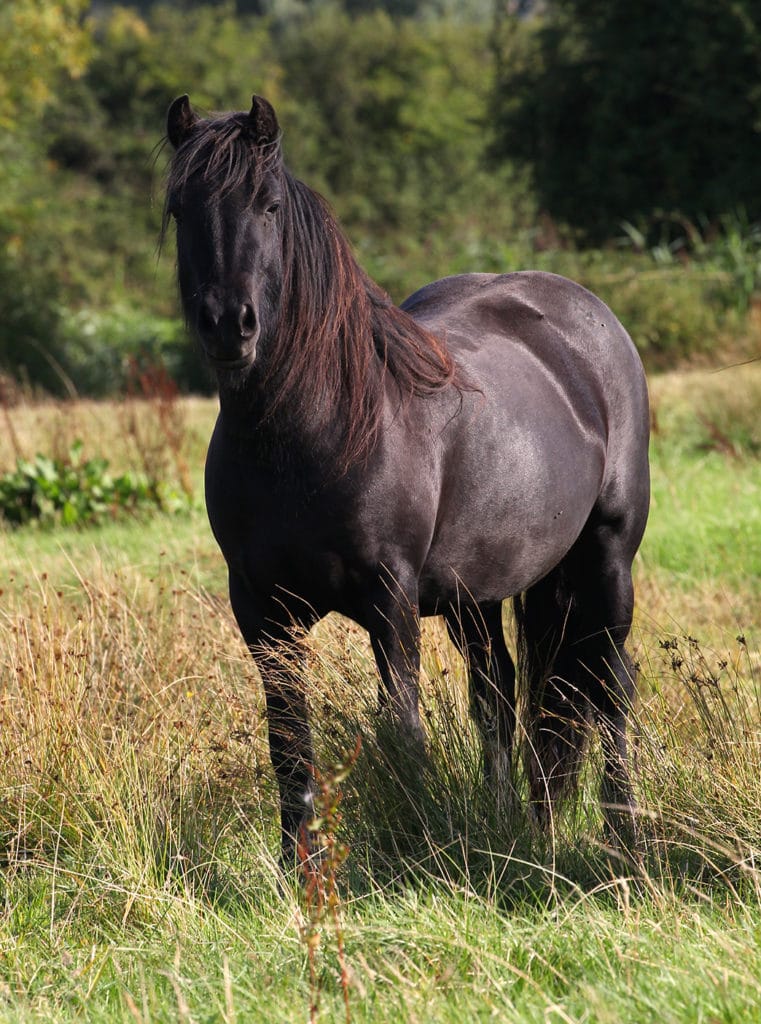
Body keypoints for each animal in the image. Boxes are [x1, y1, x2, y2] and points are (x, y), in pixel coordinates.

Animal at [164, 94, 650, 861]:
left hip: (606, 561)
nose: (227, 325)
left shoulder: (388, 600)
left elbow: (403, 734)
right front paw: (294, 864)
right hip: (477, 594)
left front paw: (414, 850)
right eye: (180, 208)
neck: (312, 430)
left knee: (609, 687)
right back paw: (518, 825)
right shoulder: (262, 612)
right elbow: (288, 744)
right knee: (499, 694)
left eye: (268, 204)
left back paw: (622, 834)